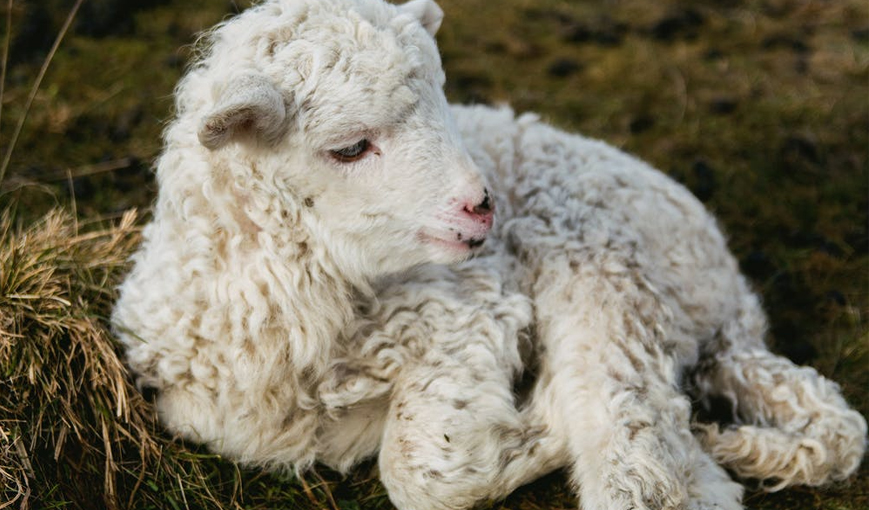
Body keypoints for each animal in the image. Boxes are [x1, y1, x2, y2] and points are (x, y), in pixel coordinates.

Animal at [112, 0, 867, 509]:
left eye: (445, 101)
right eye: (348, 147)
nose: (481, 205)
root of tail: (732, 304)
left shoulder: (466, 310)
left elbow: (421, 472)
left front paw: (538, 423)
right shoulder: (206, 412)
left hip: (608, 270)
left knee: (642, 458)